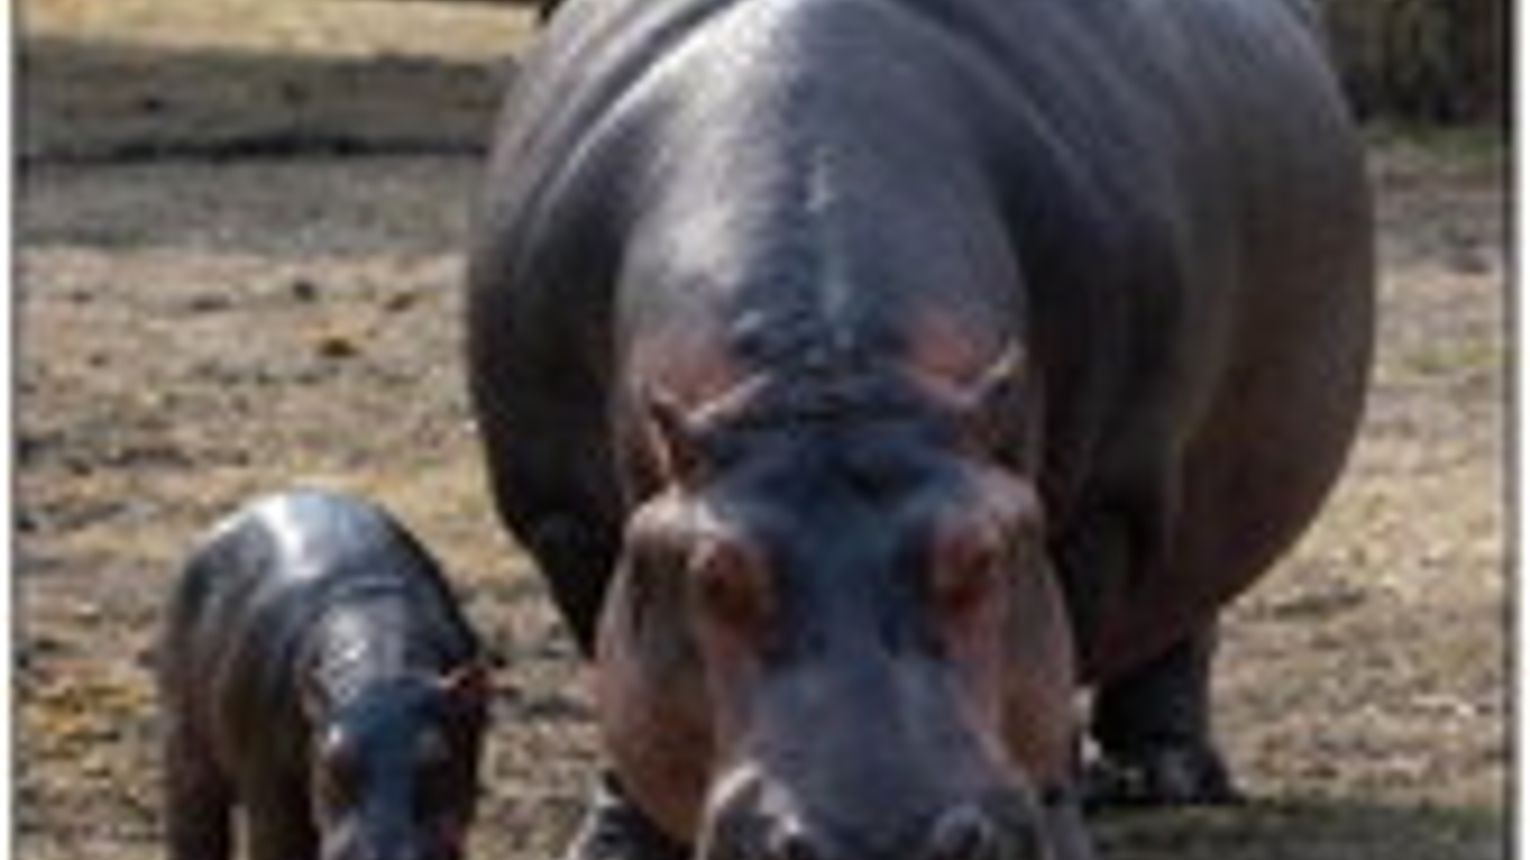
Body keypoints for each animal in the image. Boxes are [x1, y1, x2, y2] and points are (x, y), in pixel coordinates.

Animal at [158, 489, 492, 860]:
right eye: (333, 761)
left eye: (438, 761)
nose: (384, 853)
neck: (380, 659)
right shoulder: (273, 805)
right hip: (188, 750)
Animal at [465, 0, 1373, 857]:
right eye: (716, 575)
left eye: (980, 556)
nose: (880, 839)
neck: (826, 371)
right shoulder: (564, 517)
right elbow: (614, 668)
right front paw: (612, 845)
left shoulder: (1103, 505)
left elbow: (1062, 662)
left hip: (1190, 484)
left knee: (1184, 610)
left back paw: (1158, 776)